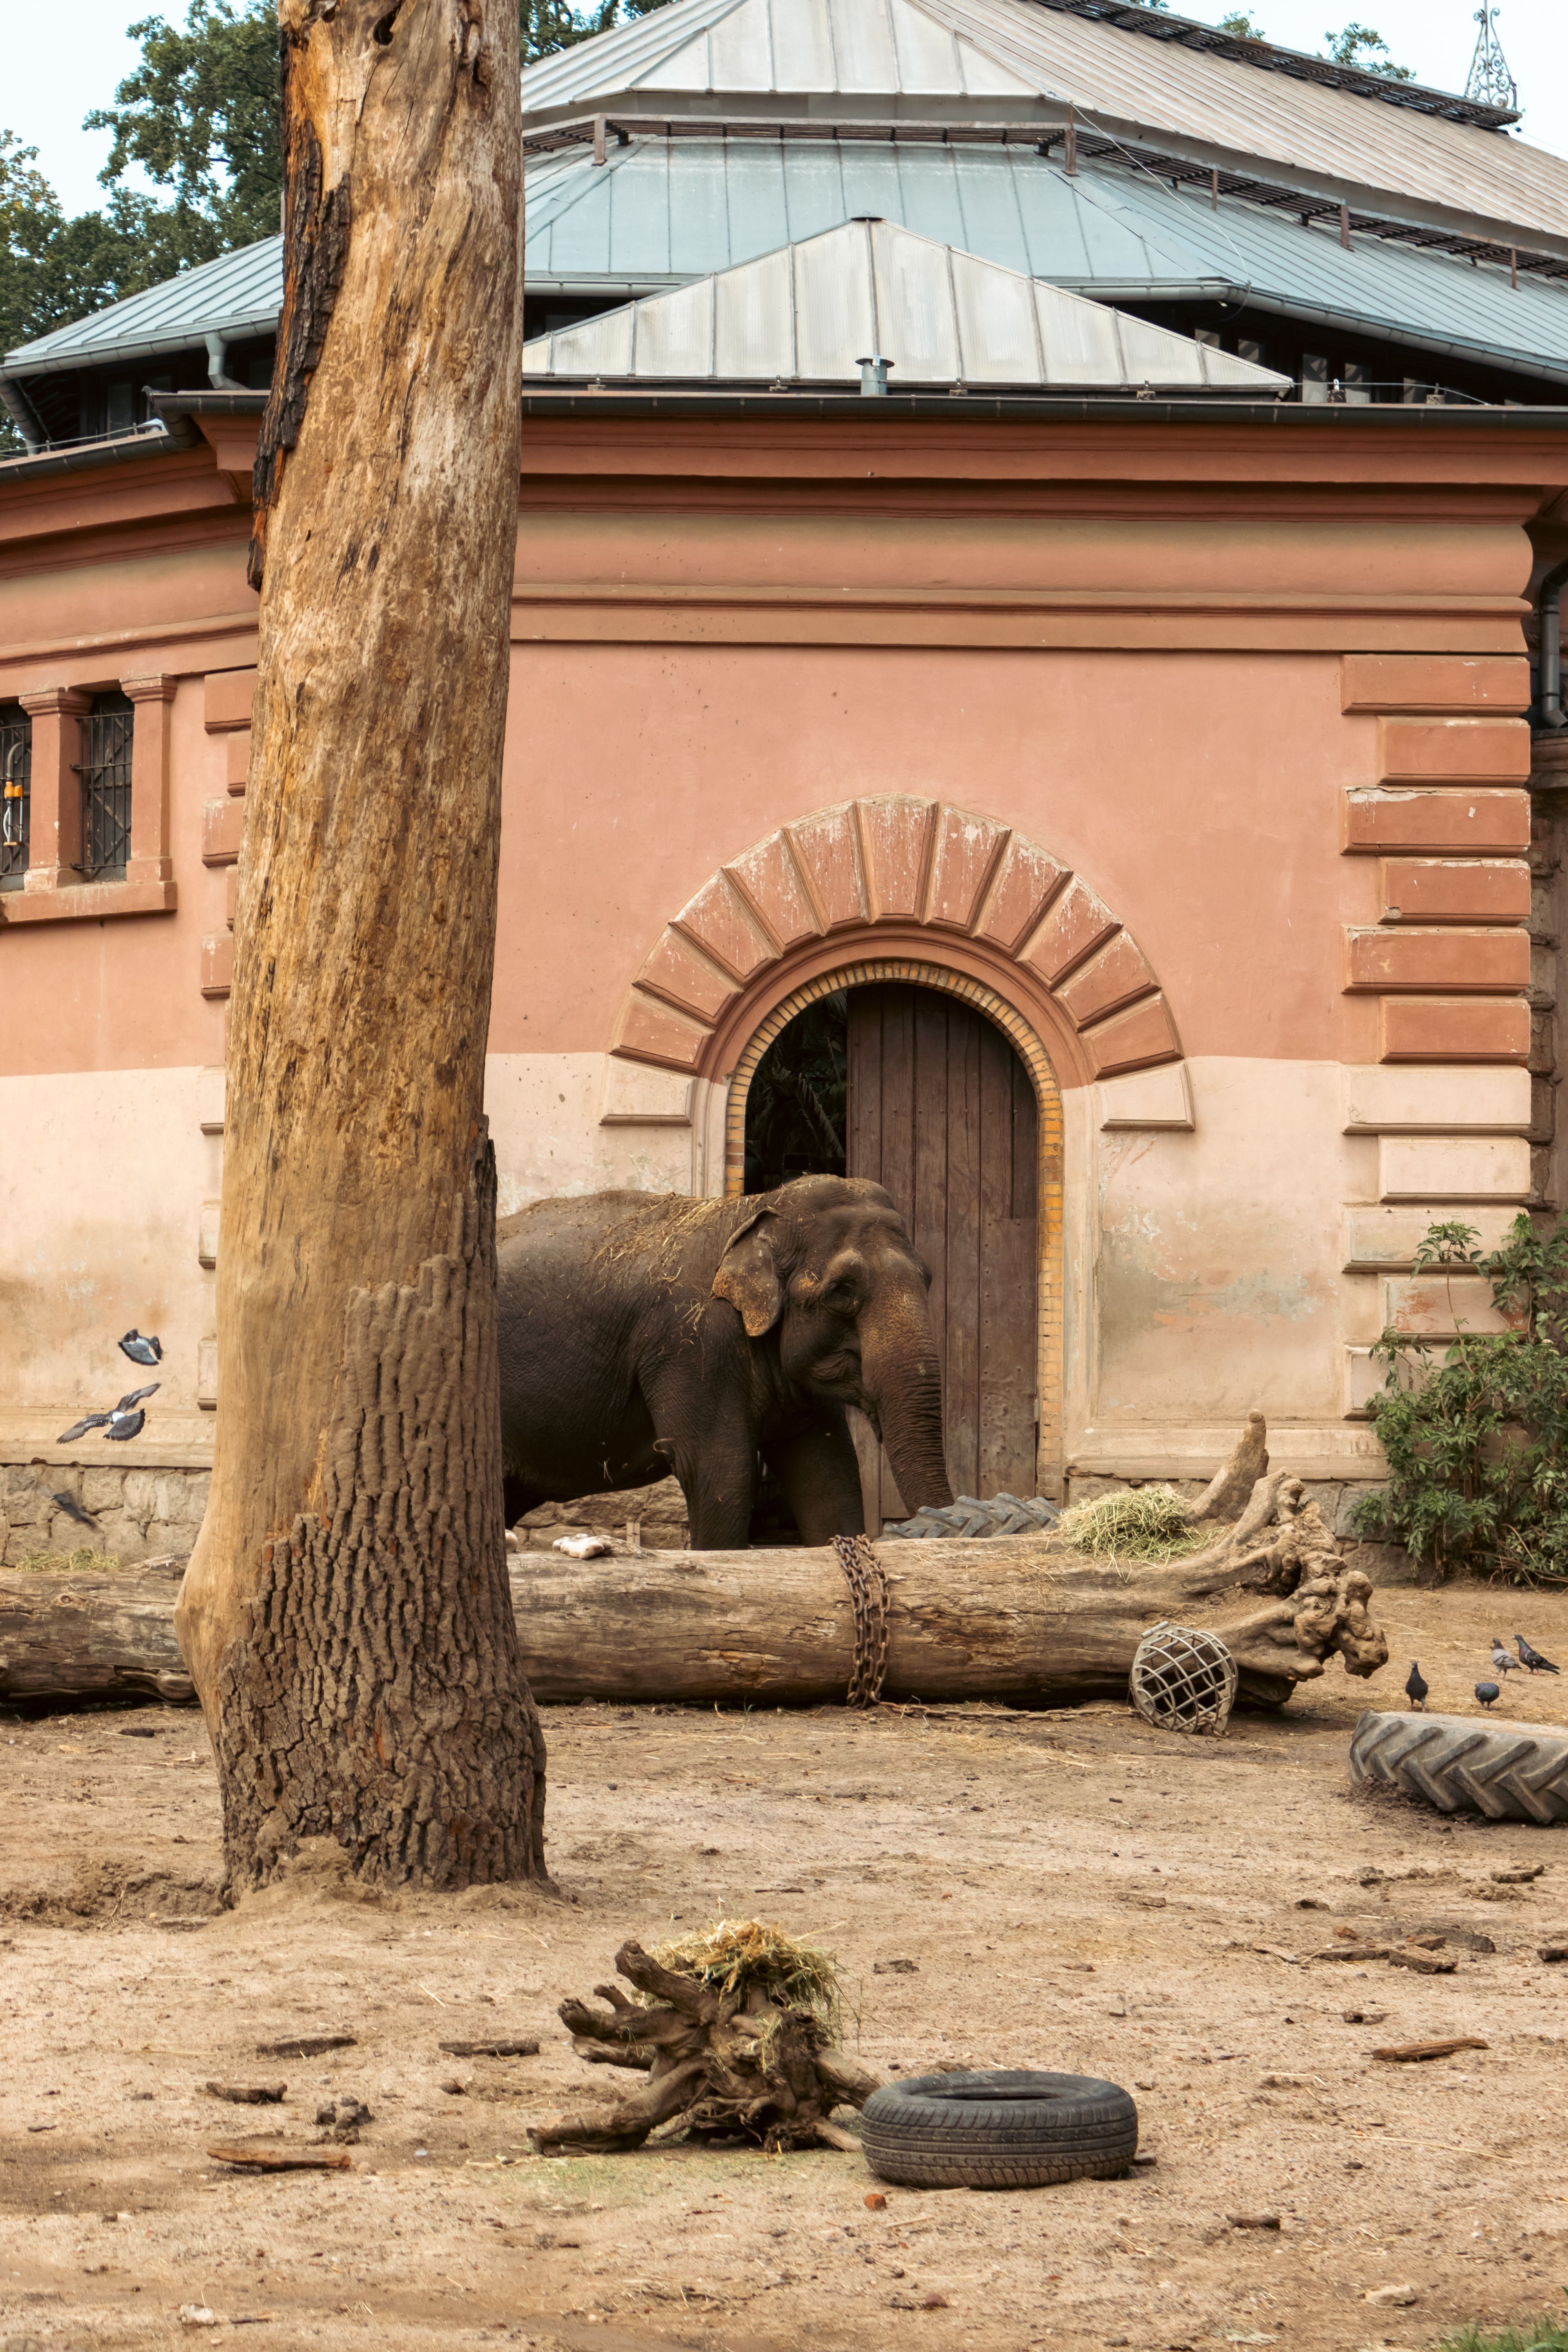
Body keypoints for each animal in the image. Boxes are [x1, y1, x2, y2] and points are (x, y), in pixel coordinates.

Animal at [496, 1175, 954, 1549]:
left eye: (929, 1279)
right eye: (841, 1291)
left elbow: (830, 1476)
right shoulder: (693, 1345)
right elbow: (719, 1471)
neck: (755, 1208)